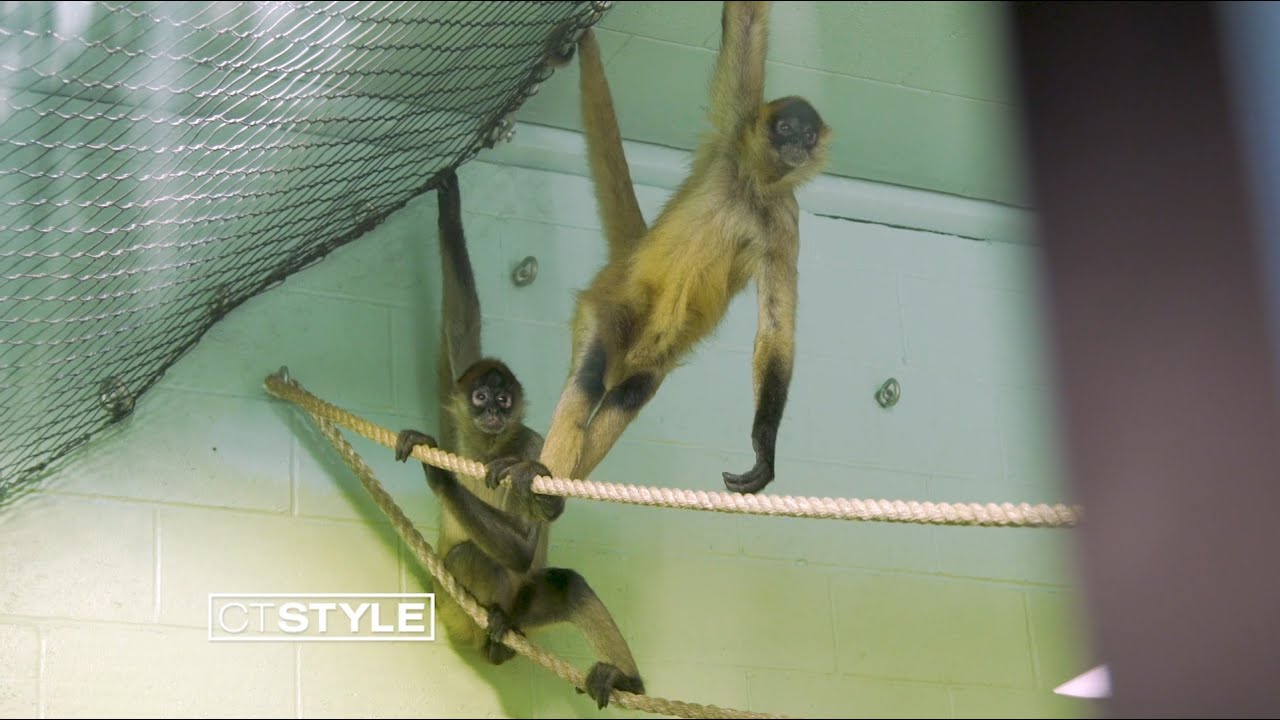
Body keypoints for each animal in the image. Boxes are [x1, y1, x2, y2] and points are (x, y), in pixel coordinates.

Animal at [394, 168, 644, 709]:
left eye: (505, 400)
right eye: (481, 396)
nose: (492, 410)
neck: (488, 448)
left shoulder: (529, 445)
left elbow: (529, 545)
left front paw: (443, 477)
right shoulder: (455, 423)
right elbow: (460, 326)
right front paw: (448, 208)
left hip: (527, 603)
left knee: (560, 583)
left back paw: (619, 678)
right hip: (450, 605)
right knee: (467, 558)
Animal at [490, 1, 830, 496]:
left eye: (808, 135)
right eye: (785, 127)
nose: (798, 145)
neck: (752, 187)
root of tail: (625, 261)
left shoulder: (784, 220)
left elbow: (775, 331)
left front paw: (763, 449)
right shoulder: (733, 132)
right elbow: (746, 22)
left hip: (651, 356)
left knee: (627, 396)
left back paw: (553, 487)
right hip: (612, 307)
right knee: (590, 379)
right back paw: (540, 472)